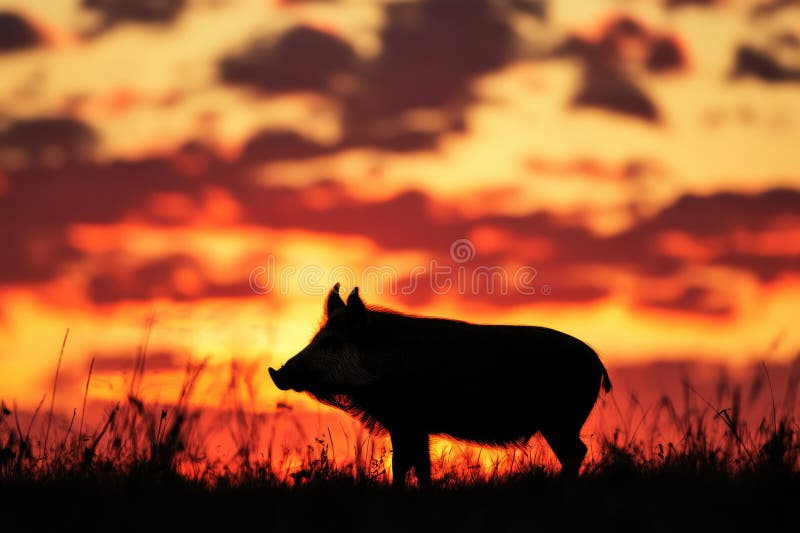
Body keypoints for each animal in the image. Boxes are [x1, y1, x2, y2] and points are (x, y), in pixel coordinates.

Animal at [268, 284, 612, 488]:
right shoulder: (407, 425)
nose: (277, 371)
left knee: (577, 452)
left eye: (331, 341)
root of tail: (597, 362)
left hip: (560, 420)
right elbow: (410, 464)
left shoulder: (409, 419)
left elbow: (410, 463)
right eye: (317, 337)